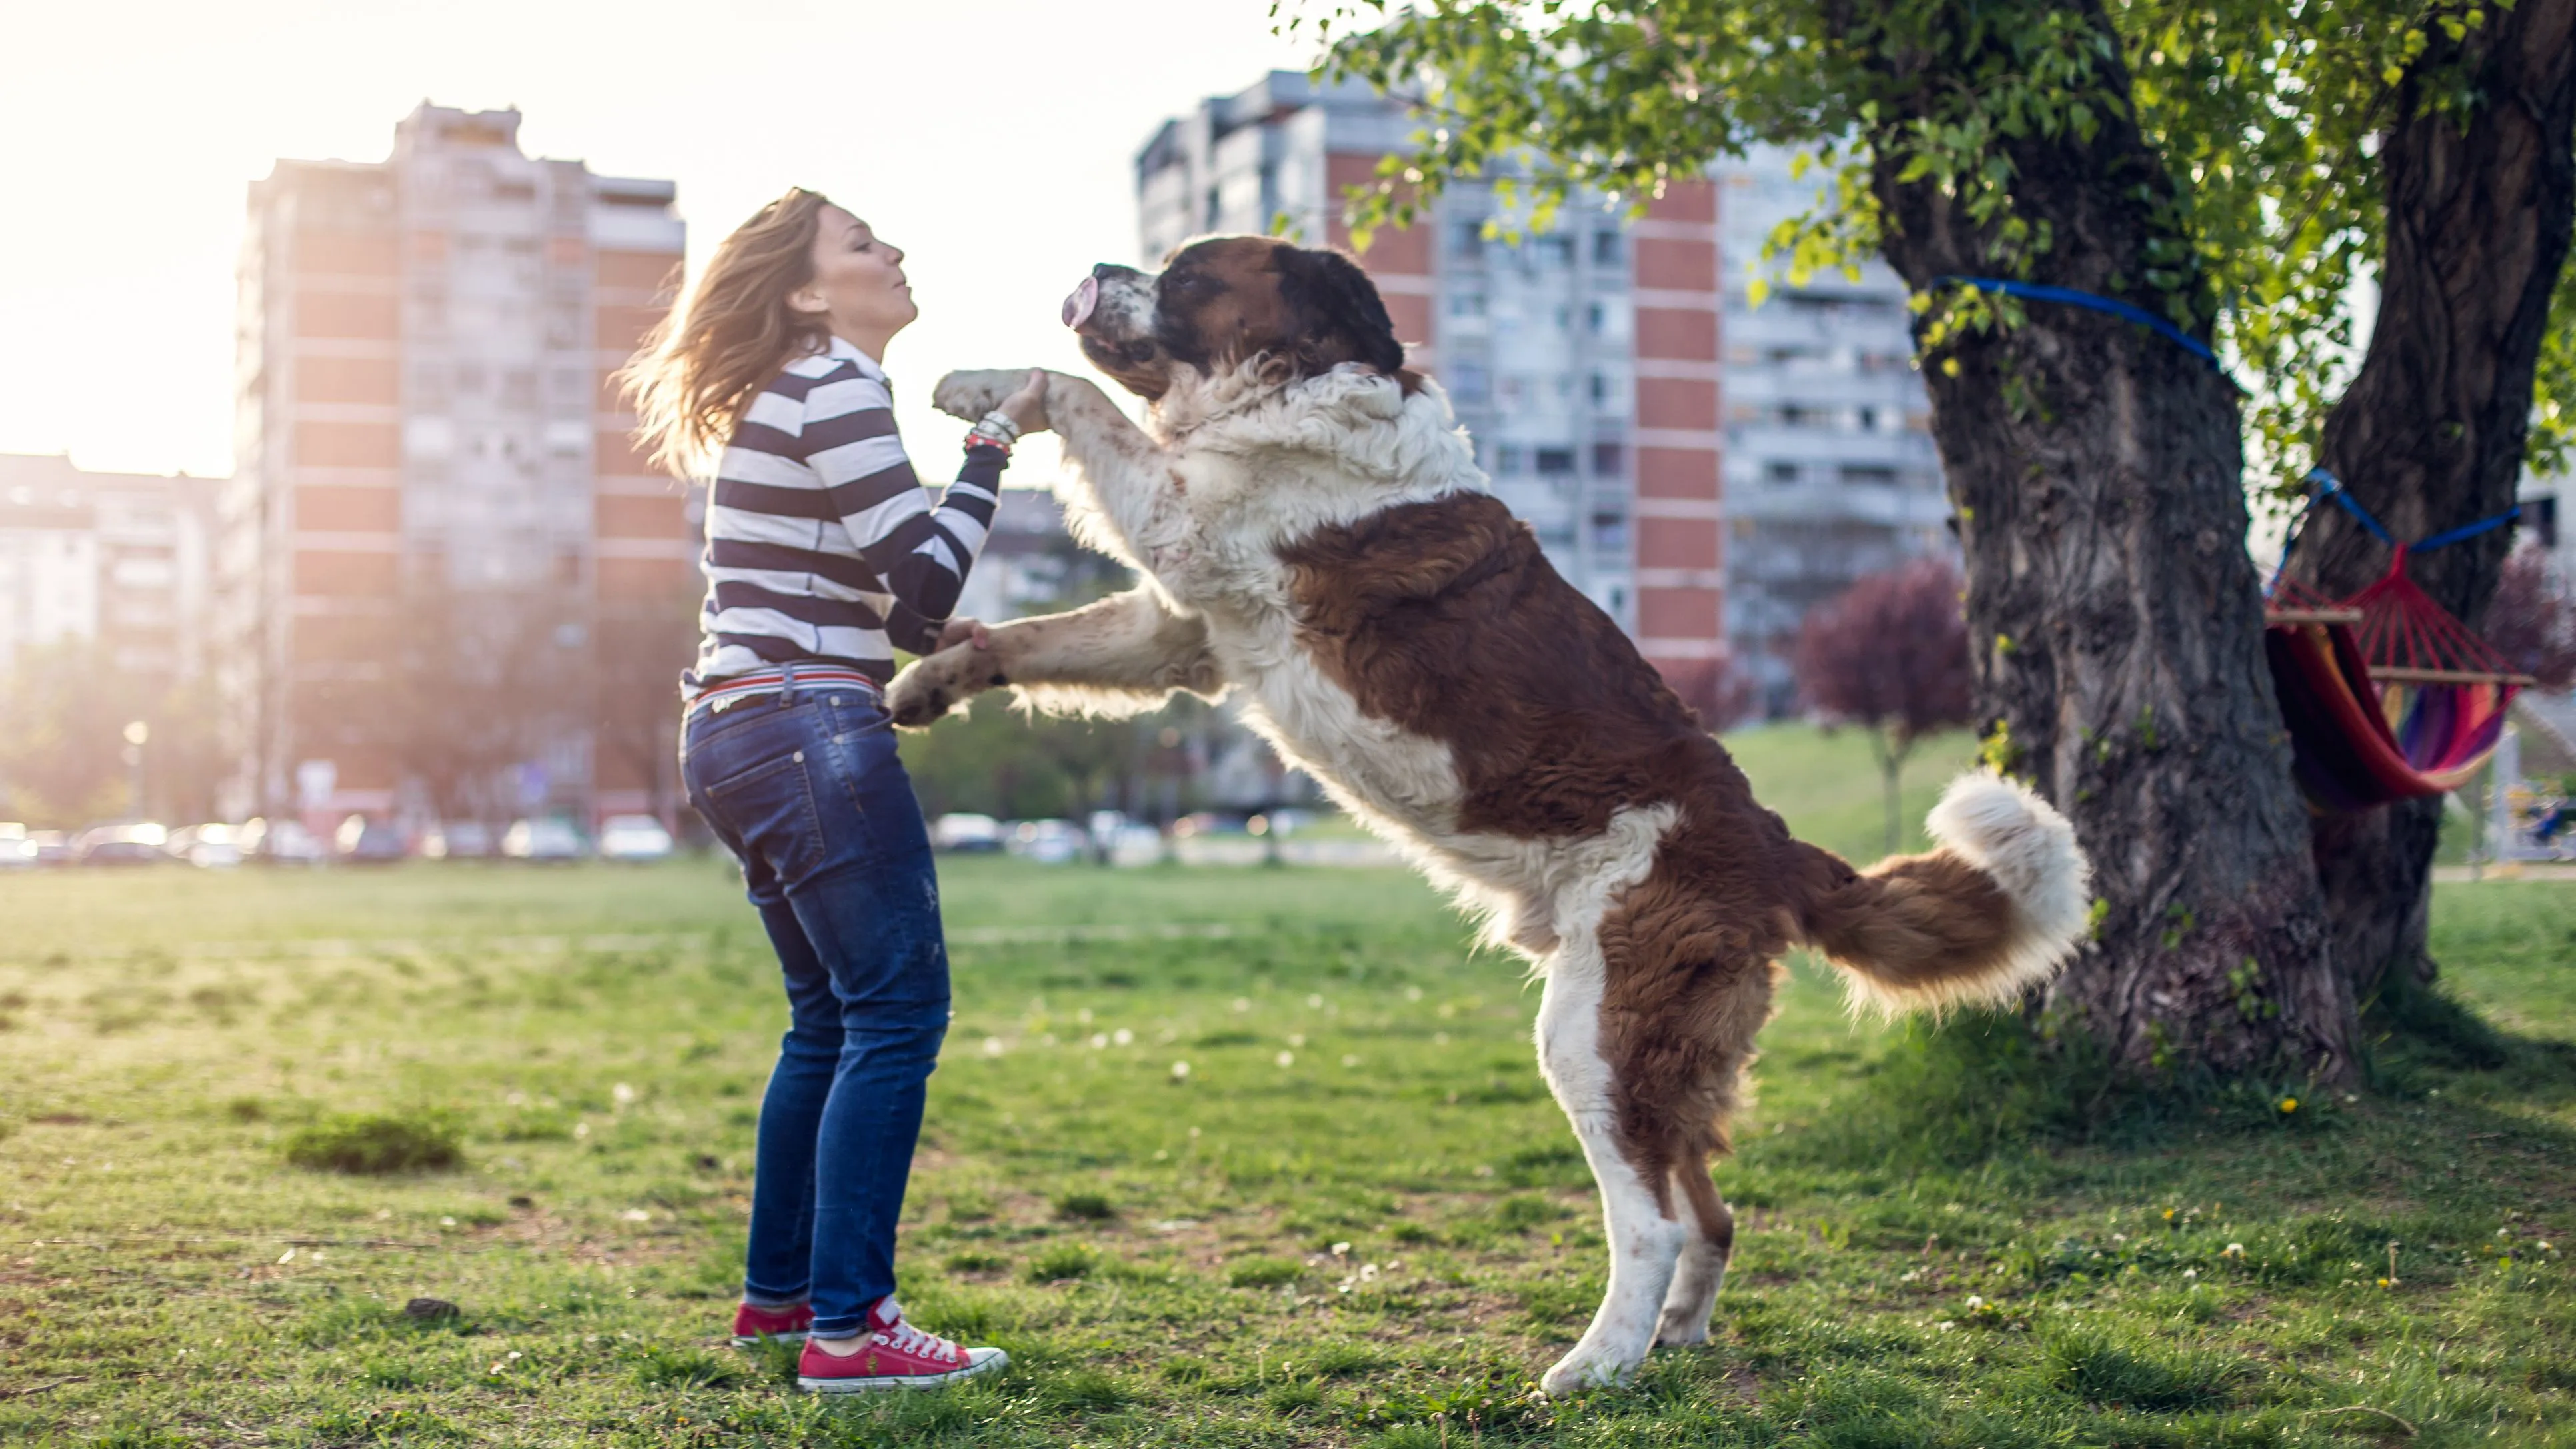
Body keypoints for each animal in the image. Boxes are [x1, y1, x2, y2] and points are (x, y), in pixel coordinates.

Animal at [896, 237, 2081, 1392]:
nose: (1099, 270)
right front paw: (930, 677)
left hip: (1595, 1031)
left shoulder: (1190, 530)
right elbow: (1043, 637)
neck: (1293, 385)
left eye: (1185, 273)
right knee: (1710, 1210)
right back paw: (1676, 1336)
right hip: (1656, 1049)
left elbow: (1075, 396)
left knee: (1651, 1217)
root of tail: (1773, 839)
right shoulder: (1182, 629)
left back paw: (1596, 1365)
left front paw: (982, 383)